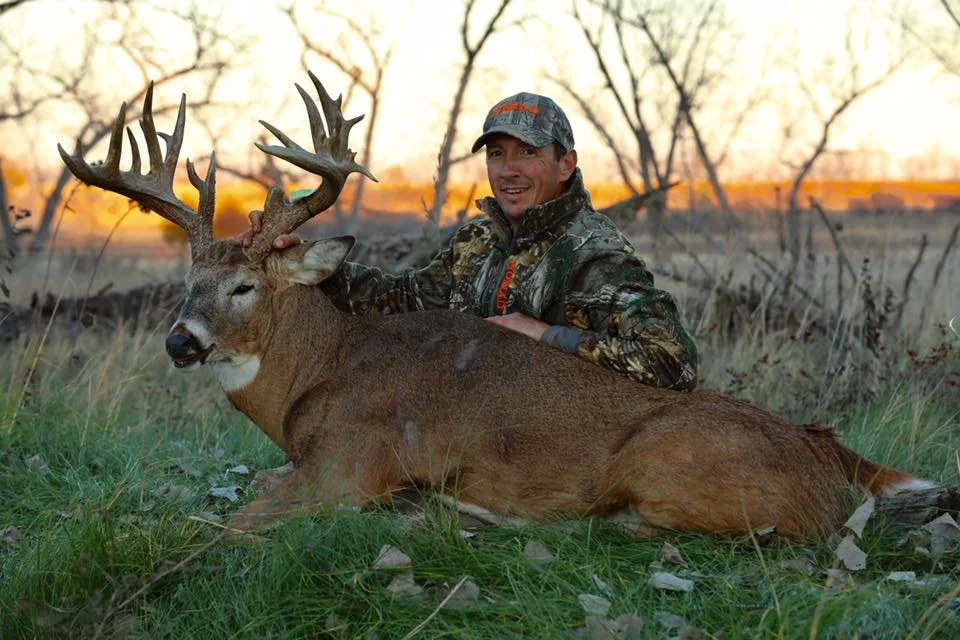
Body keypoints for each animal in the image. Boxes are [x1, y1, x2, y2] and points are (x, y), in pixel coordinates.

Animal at [59, 72, 955, 542]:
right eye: (187, 280)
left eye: (245, 285)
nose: (180, 342)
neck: (319, 375)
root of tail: (828, 451)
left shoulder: (351, 464)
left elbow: (220, 525)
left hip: (662, 458)